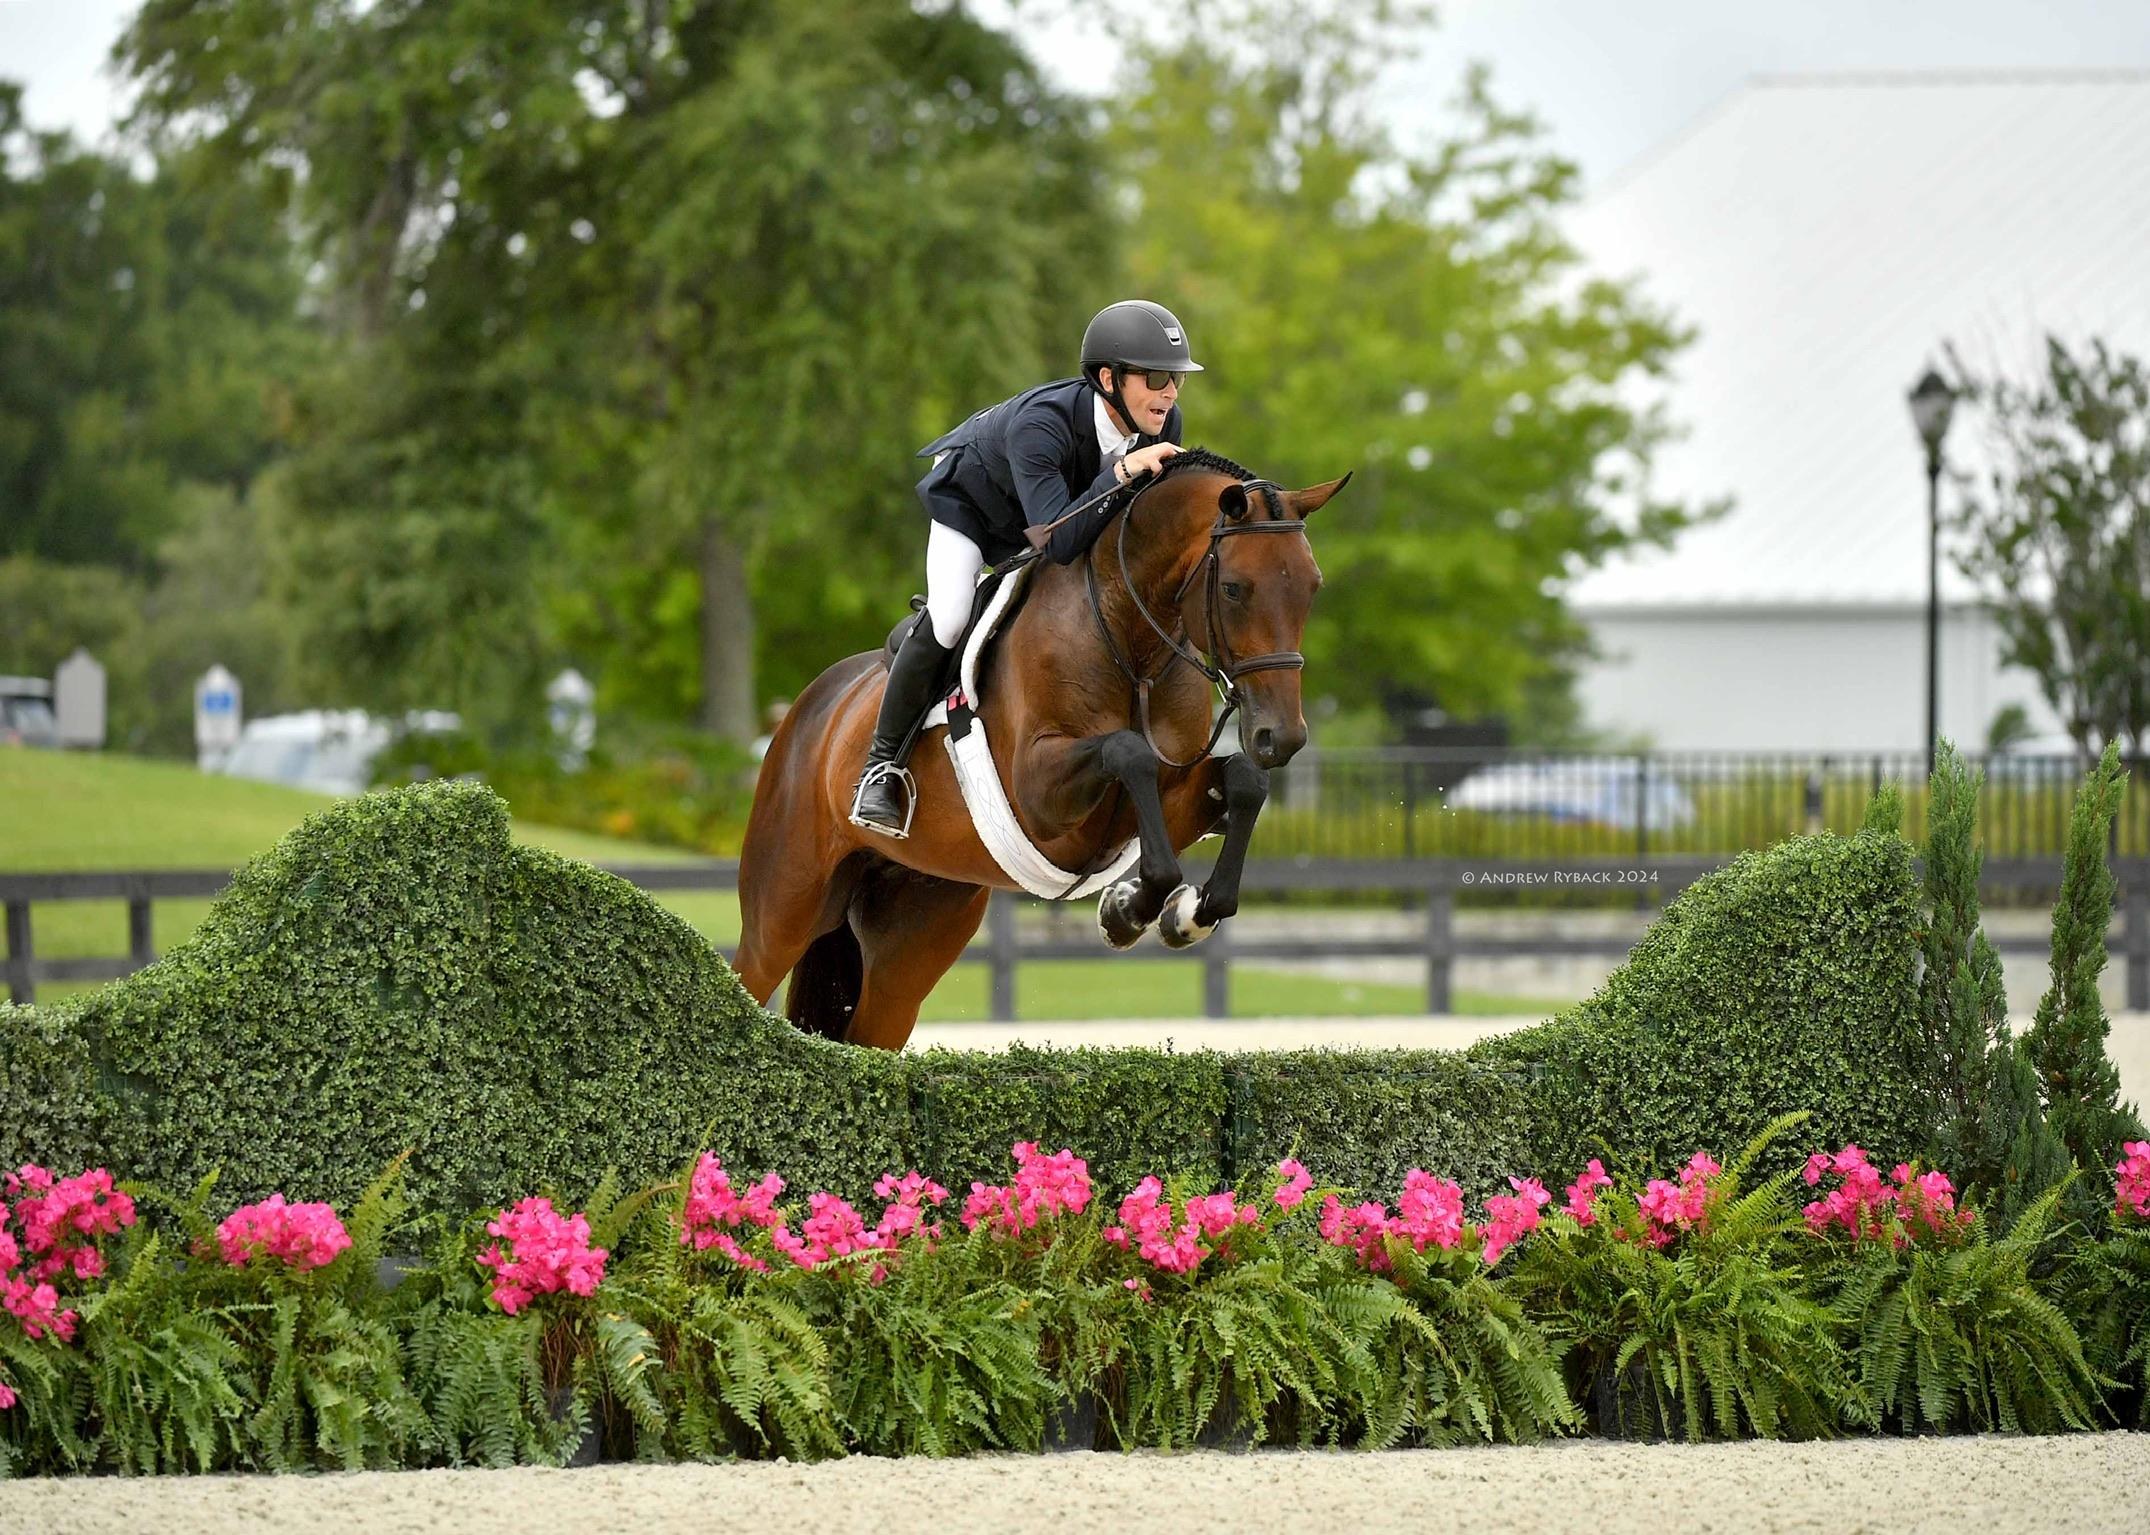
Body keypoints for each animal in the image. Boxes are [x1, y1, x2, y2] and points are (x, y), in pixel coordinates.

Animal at [735, 449, 1348, 1048]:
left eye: (1312, 587)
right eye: (1234, 588)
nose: (1282, 738)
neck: (1131, 639)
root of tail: (811, 709)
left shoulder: (1169, 797)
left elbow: (1245, 780)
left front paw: (1182, 915)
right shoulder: (1039, 795)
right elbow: (1129, 752)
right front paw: (1125, 912)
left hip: (915, 931)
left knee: (872, 1026)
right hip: (783, 911)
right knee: (752, 972)